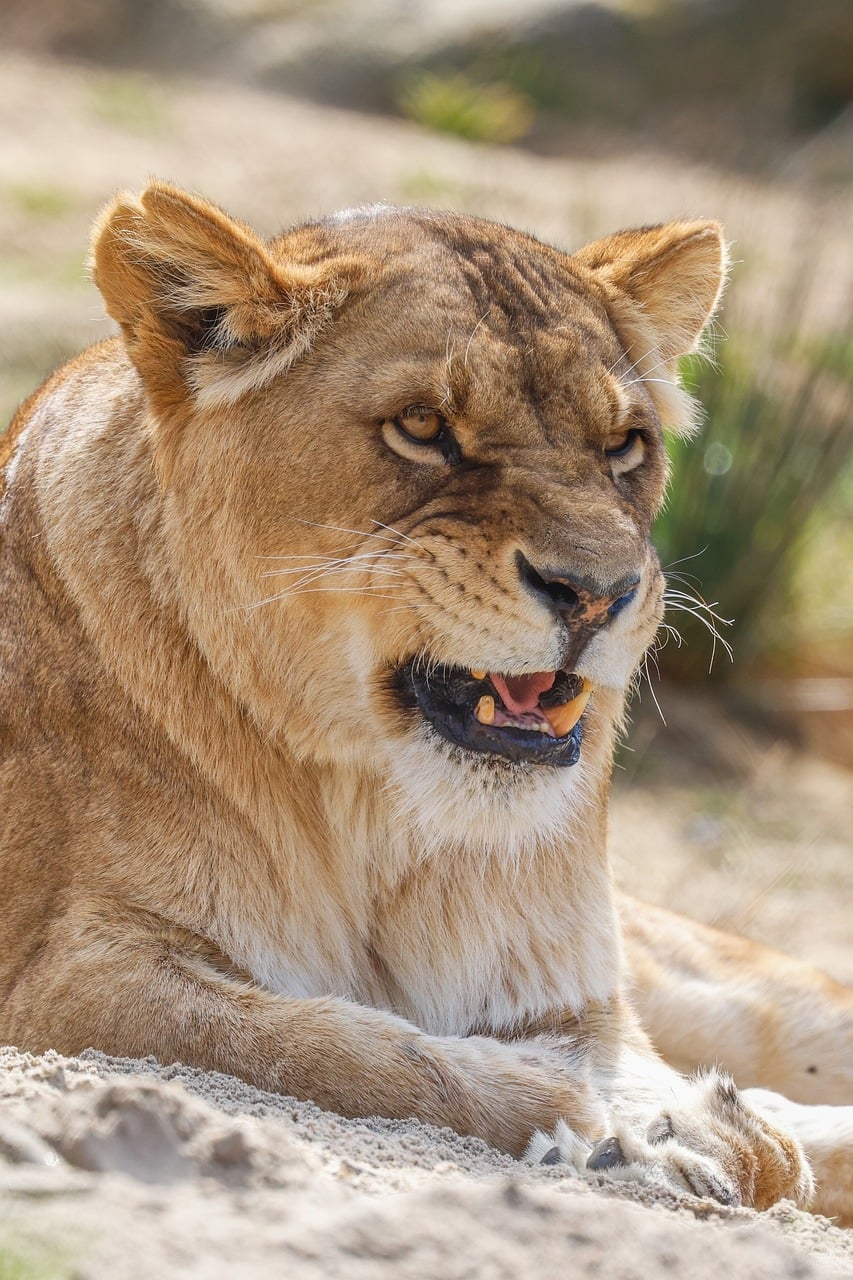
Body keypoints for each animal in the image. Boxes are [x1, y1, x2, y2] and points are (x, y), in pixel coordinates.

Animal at [1, 182, 850, 1220]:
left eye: (623, 446)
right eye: (422, 426)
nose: (596, 593)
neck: (378, 816)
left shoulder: (579, 986)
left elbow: (634, 1066)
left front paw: (693, 1129)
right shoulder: (62, 977)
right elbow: (330, 1047)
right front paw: (592, 1118)